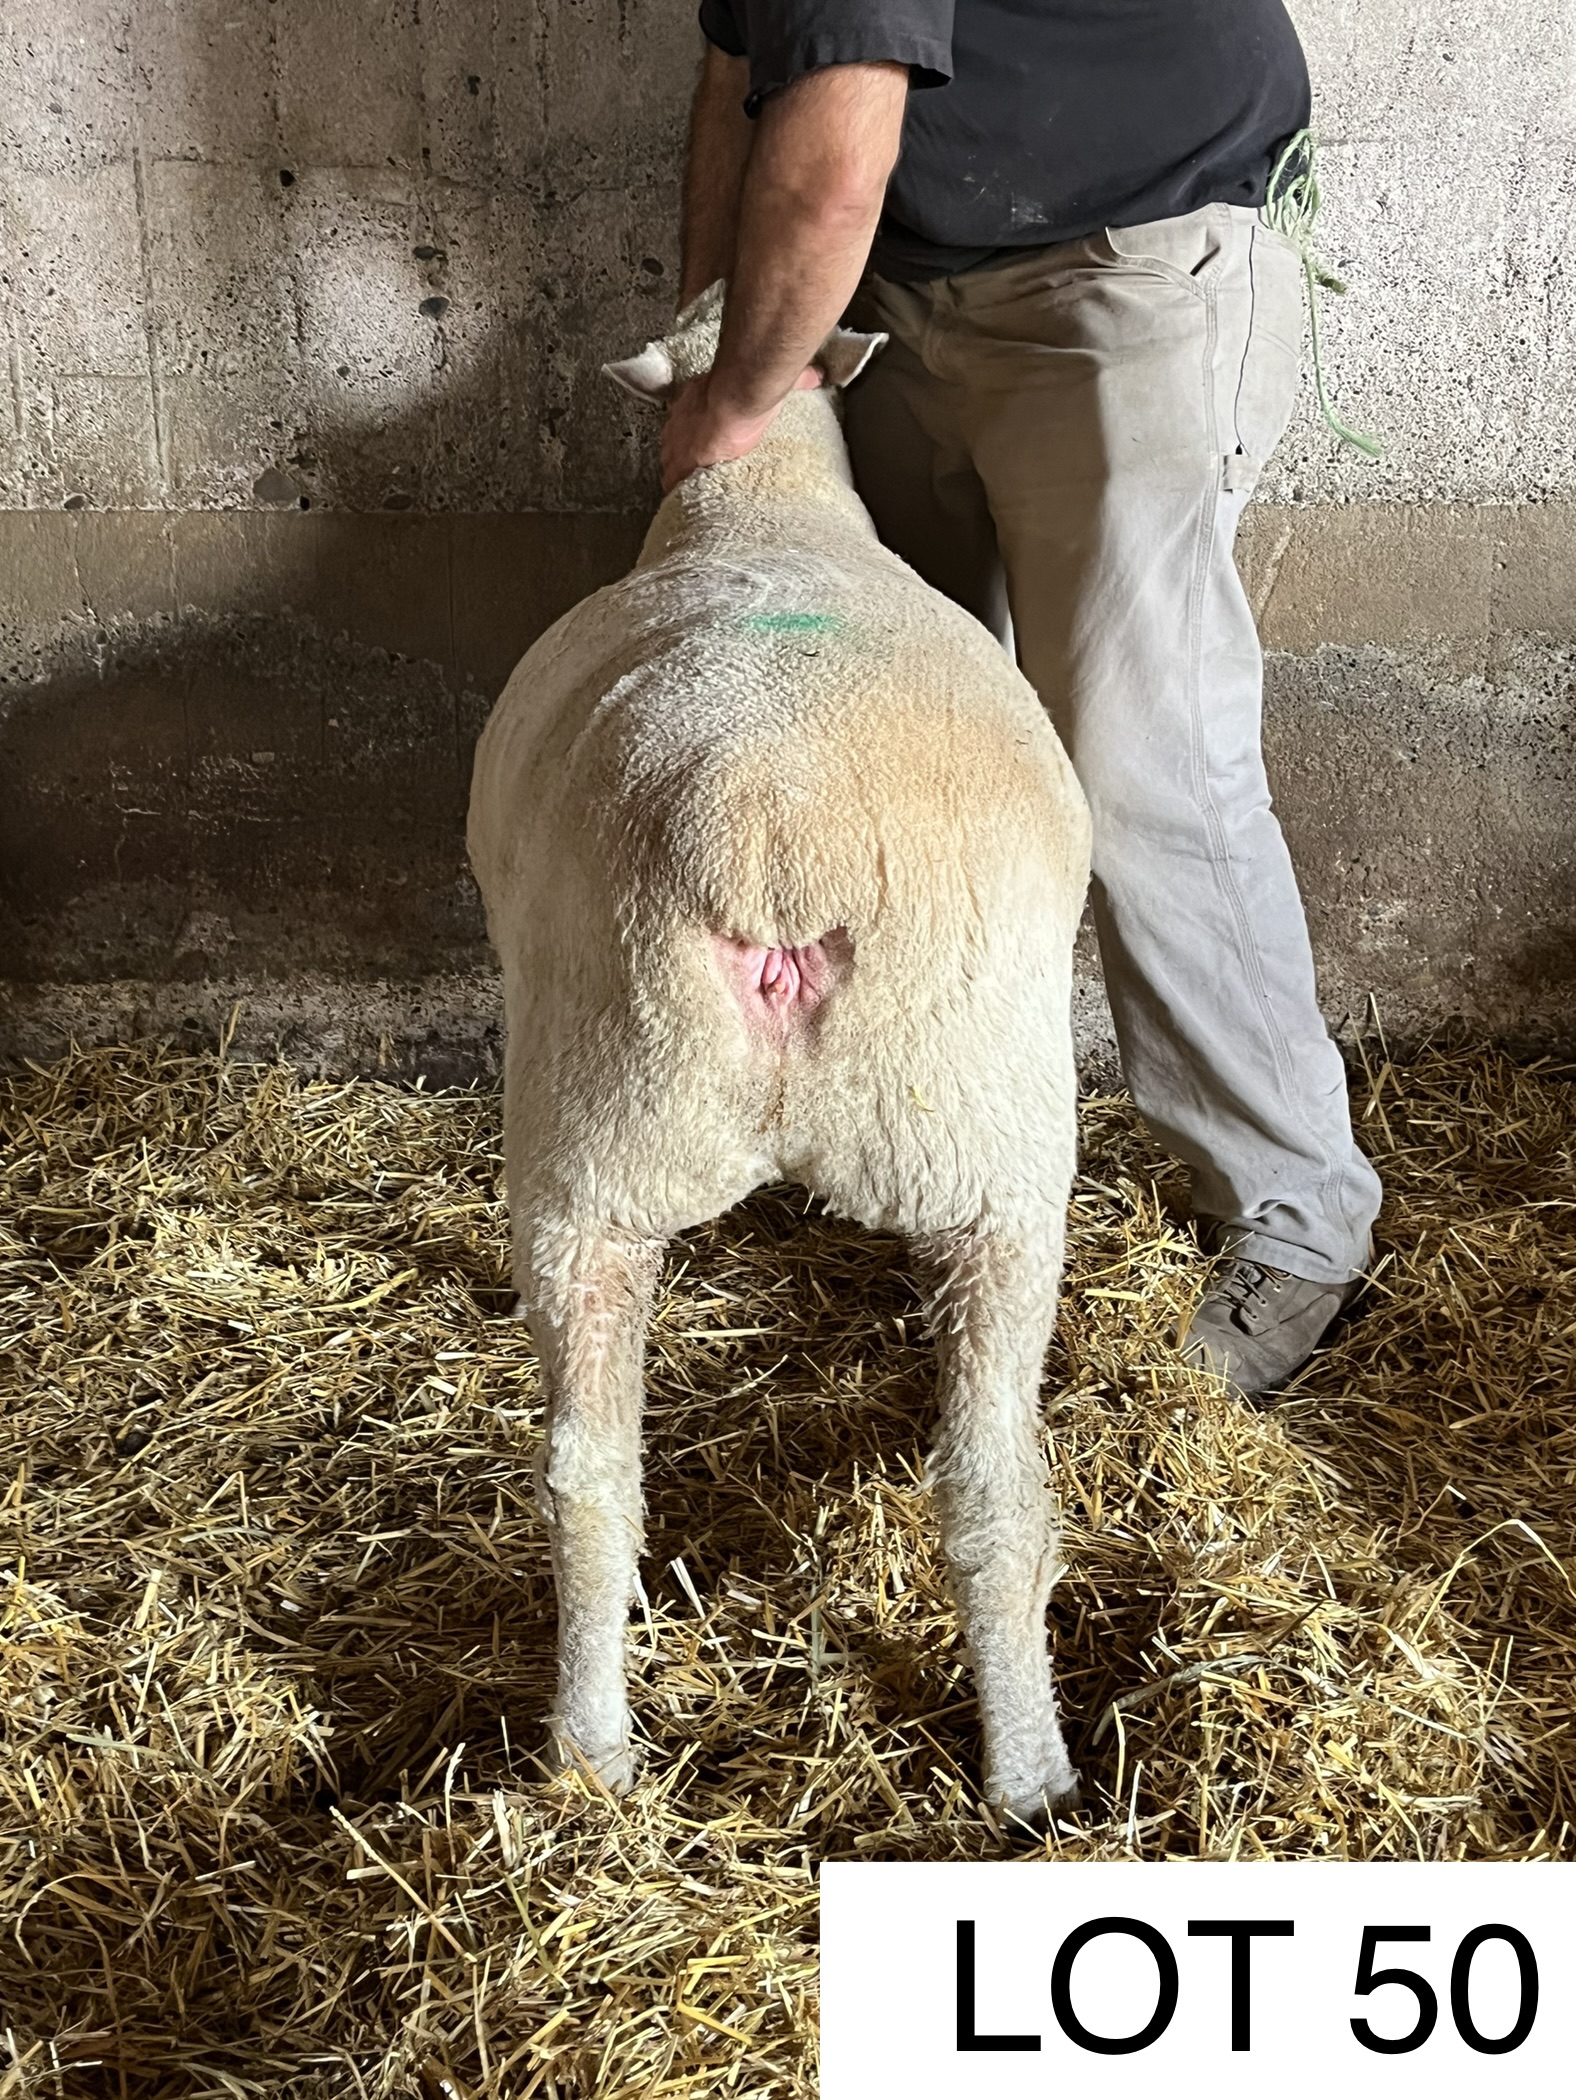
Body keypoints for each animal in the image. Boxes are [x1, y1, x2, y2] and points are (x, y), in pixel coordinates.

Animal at [466, 285, 1092, 1826]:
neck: (763, 502)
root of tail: (772, 829)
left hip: (606, 1157)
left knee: (590, 1479)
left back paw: (599, 1757)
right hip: (982, 1147)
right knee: (988, 1485)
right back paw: (1028, 1769)